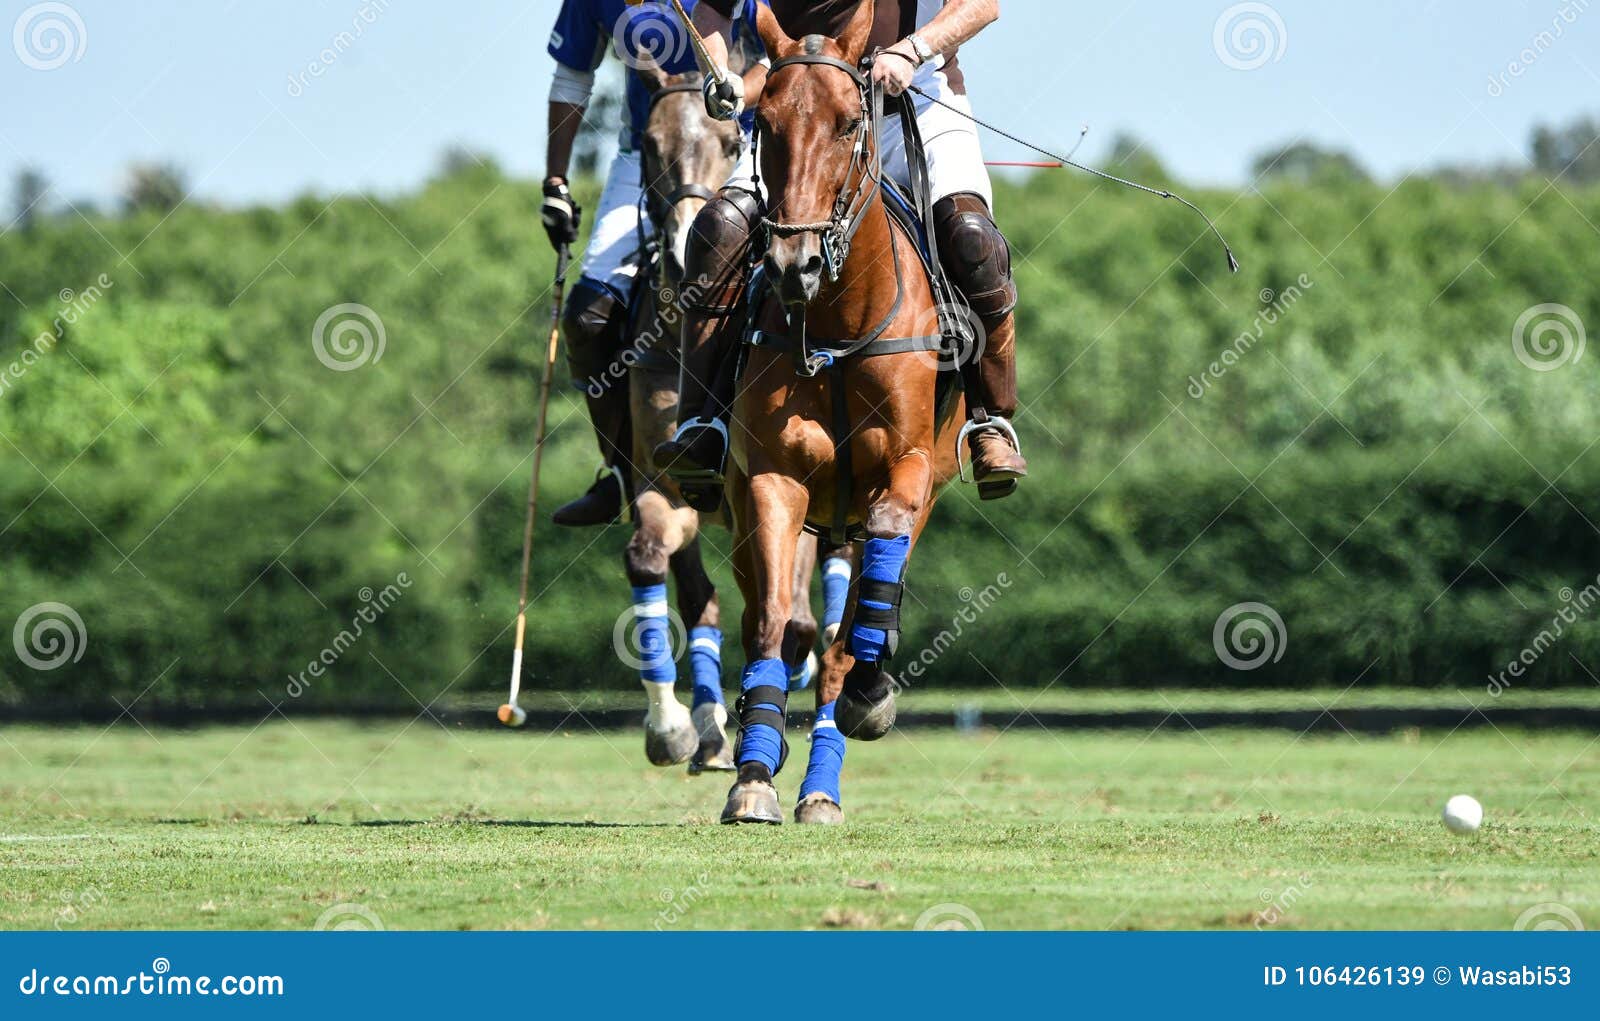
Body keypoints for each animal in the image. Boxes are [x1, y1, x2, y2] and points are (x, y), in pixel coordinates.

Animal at [620, 65, 841, 773]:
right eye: (649, 144)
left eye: (728, 142)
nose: (685, 251)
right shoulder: (660, 483)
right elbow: (653, 566)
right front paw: (673, 731)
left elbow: (793, 614)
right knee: (709, 600)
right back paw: (712, 730)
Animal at [719, 4, 969, 825]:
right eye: (764, 122)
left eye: (850, 121)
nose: (792, 266)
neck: (836, 323)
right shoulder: (772, 476)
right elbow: (771, 620)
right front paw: (753, 777)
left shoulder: (911, 465)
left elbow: (857, 619)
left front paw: (869, 690)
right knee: (770, 617)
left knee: (847, 625)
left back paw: (828, 772)